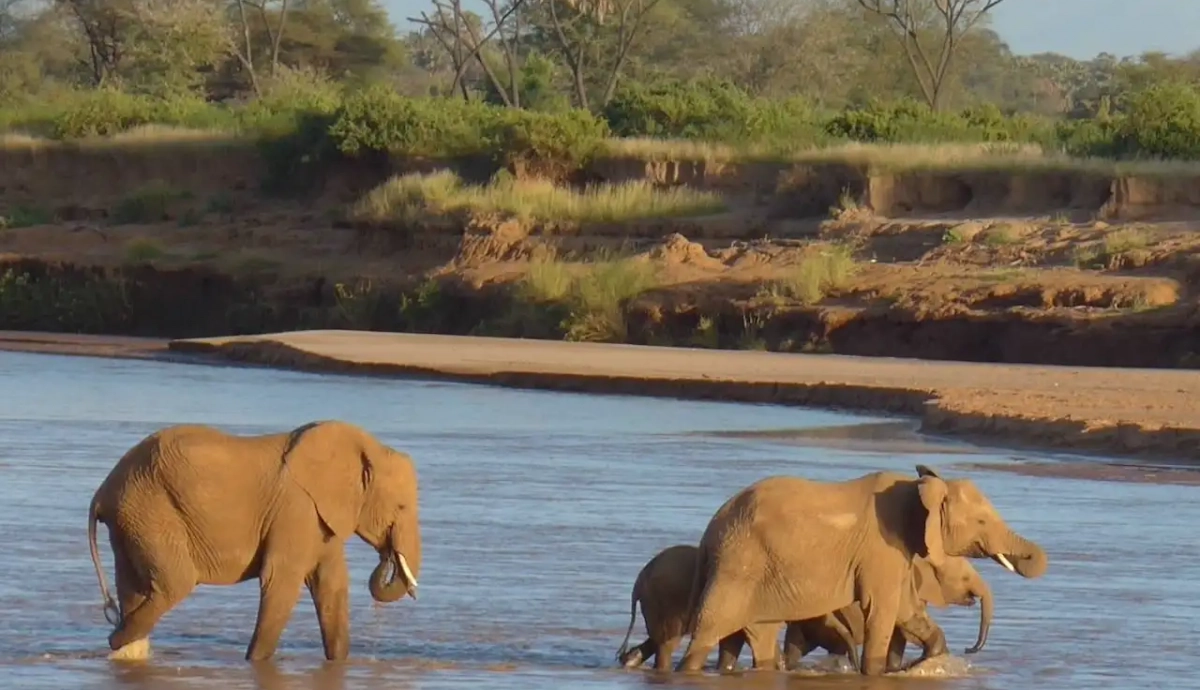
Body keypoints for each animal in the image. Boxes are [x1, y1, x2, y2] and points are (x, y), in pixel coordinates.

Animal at [86, 420, 422, 662]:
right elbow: (282, 580)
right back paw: (117, 639)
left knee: (134, 586)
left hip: (133, 519)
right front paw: (256, 663)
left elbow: (331, 584)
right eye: (401, 507)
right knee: (175, 582)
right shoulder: (295, 509)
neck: (366, 447)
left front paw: (338, 664)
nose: (387, 556)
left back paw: (124, 648)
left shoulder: (319, 518)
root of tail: (102, 493)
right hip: (150, 511)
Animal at [675, 464, 1046, 676]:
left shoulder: (897, 552)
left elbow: (905, 609)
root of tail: (710, 531)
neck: (920, 488)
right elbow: (883, 609)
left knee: (758, 637)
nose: (971, 650)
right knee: (708, 630)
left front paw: (923, 665)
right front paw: (879, 673)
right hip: (739, 565)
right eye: (982, 522)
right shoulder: (881, 547)